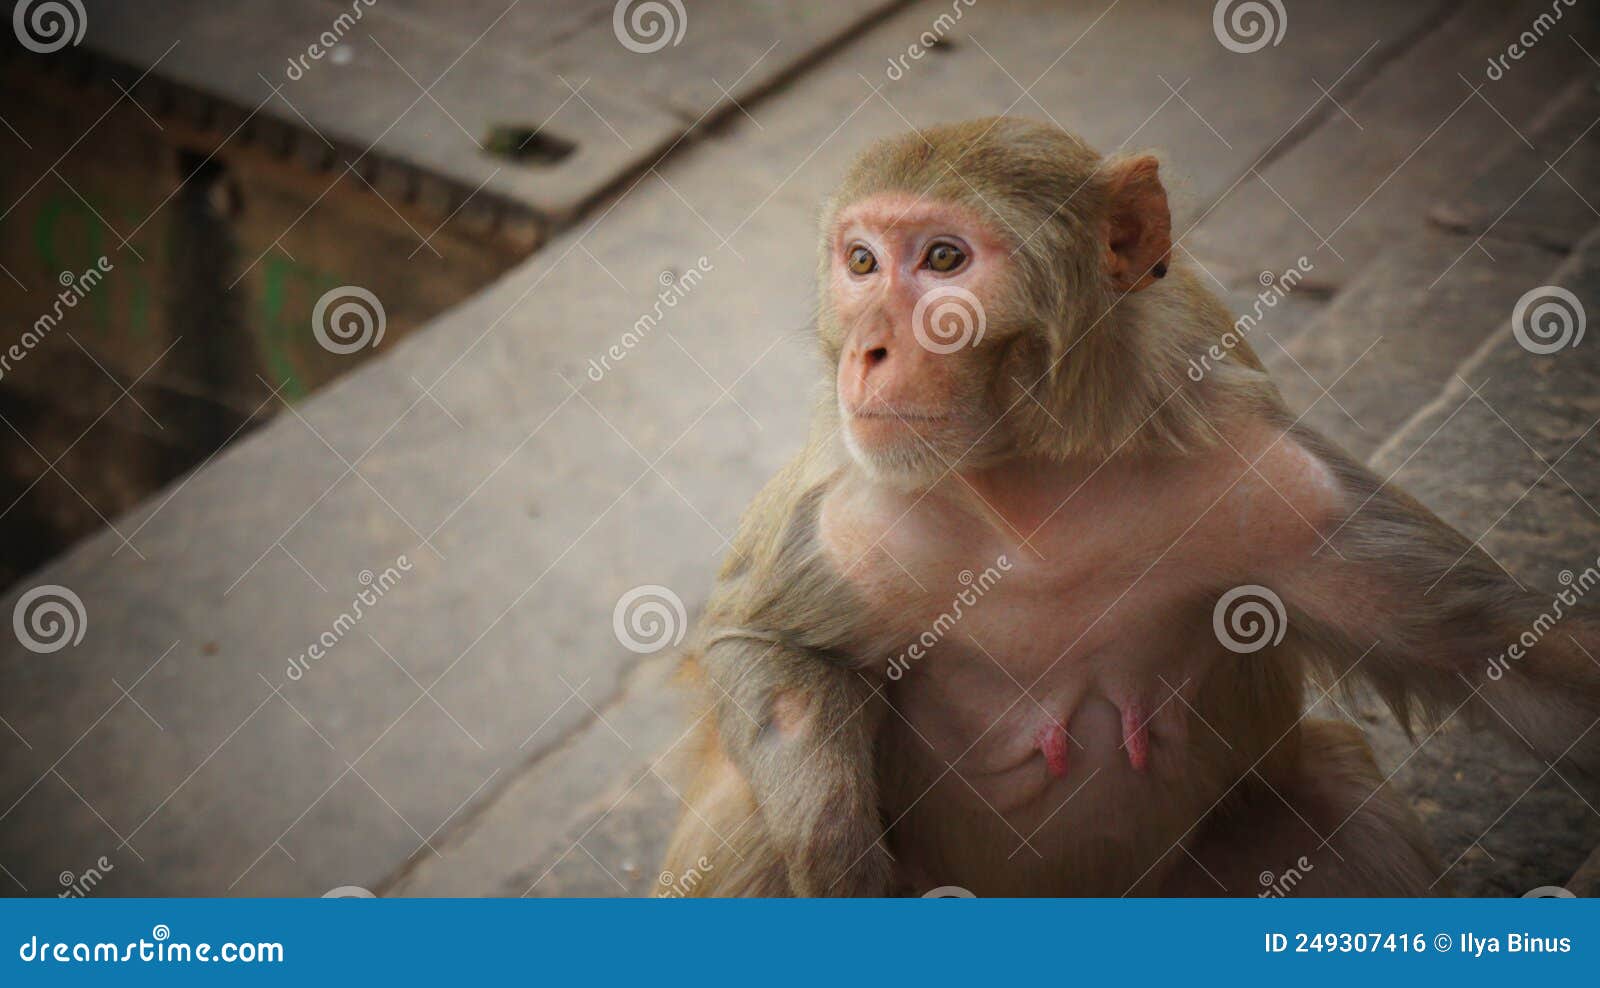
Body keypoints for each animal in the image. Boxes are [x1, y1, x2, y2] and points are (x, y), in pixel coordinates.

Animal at [658, 117, 1600, 897]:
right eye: (861, 263)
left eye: (944, 260)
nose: (868, 352)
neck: (1039, 484)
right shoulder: (858, 516)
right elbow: (760, 642)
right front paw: (837, 855)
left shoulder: (1271, 483)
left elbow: (1498, 650)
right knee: (751, 815)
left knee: (1340, 796)